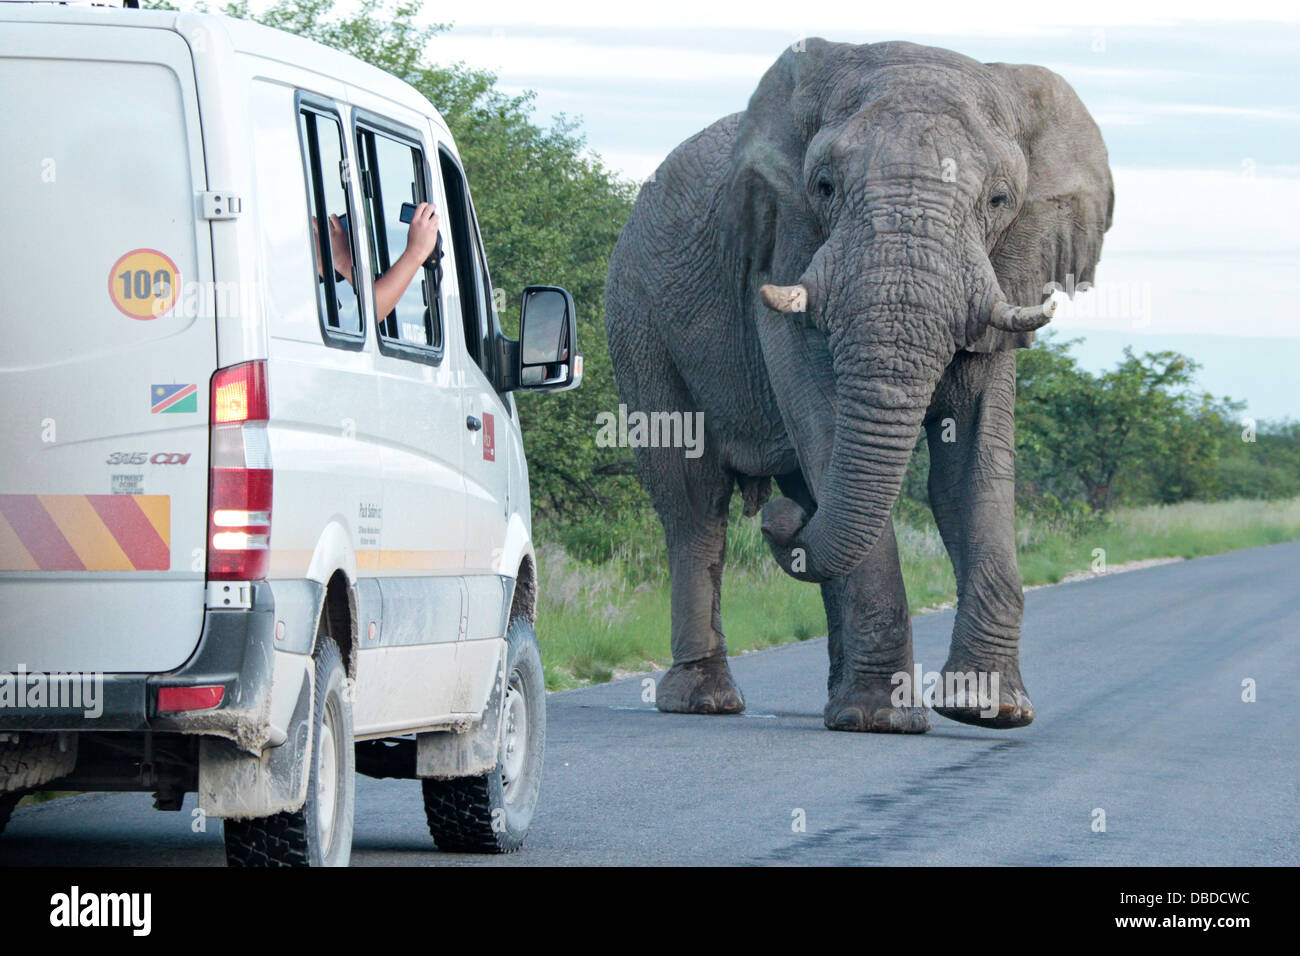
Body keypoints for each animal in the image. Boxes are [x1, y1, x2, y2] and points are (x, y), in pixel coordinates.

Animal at [603, 39, 1113, 732]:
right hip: (636, 315)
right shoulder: (783, 248)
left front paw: (990, 711)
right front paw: (884, 720)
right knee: (691, 495)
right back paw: (706, 701)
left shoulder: (1007, 273)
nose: (777, 524)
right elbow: (823, 422)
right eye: (823, 187)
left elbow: (968, 463)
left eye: (1000, 201)